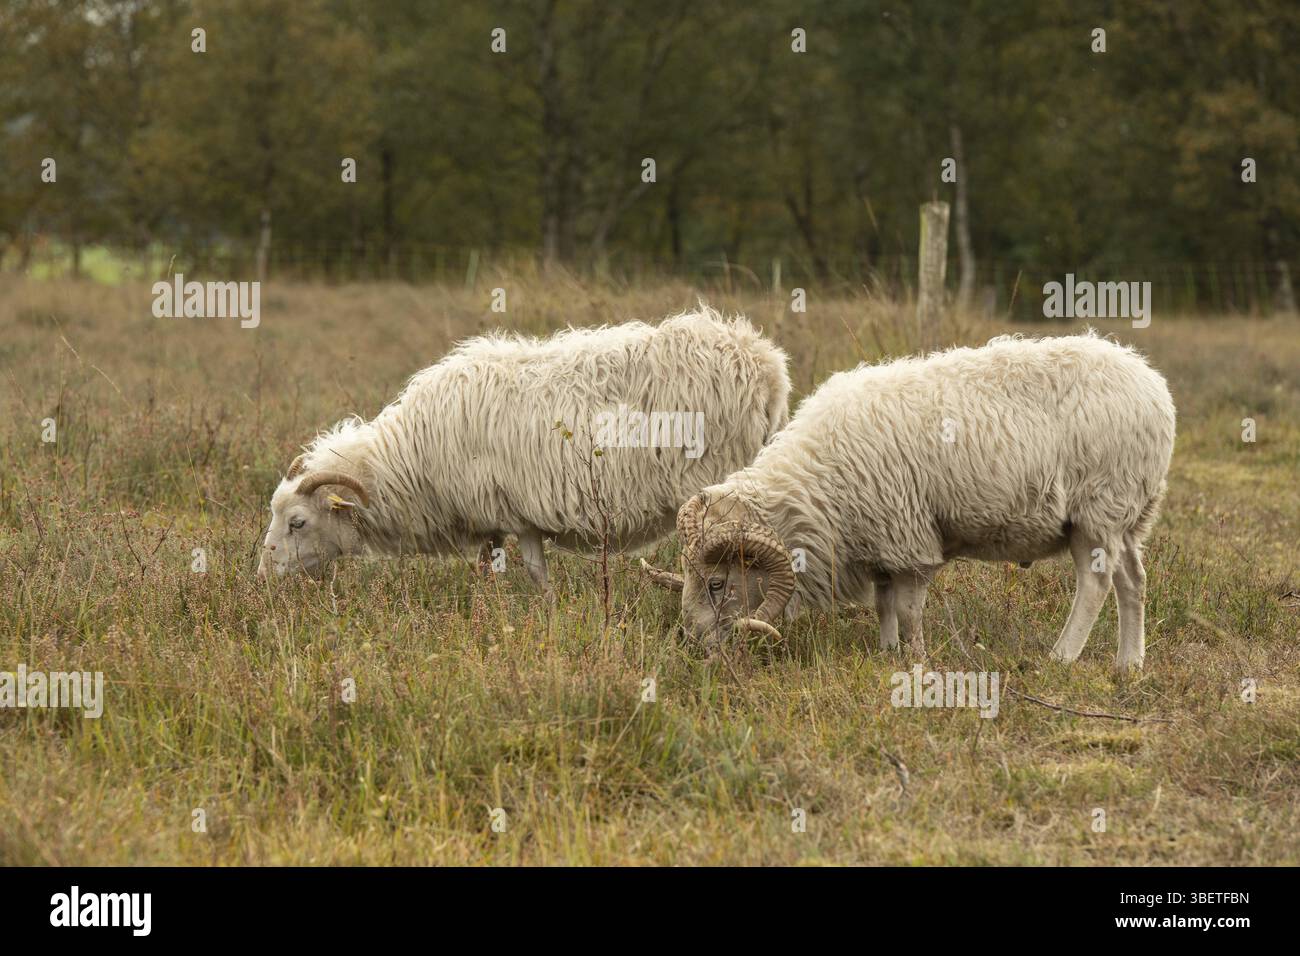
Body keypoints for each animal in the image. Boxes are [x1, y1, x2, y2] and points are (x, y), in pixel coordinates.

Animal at [256, 306, 791, 587]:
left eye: (297, 521)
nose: (263, 575)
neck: (411, 459)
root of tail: (762, 362)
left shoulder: (517, 511)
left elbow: (536, 575)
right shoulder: (491, 520)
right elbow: (486, 570)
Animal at [643, 333, 1176, 671]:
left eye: (716, 583)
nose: (691, 644)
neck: (815, 493)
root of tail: (1153, 385)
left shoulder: (910, 538)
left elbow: (910, 608)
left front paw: (916, 659)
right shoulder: (879, 543)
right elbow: (884, 603)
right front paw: (886, 652)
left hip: (1098, 510)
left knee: (1096, 584)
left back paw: (1062, 656)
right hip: (1126, 517)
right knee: (1133, 582)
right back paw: (1130, 663)